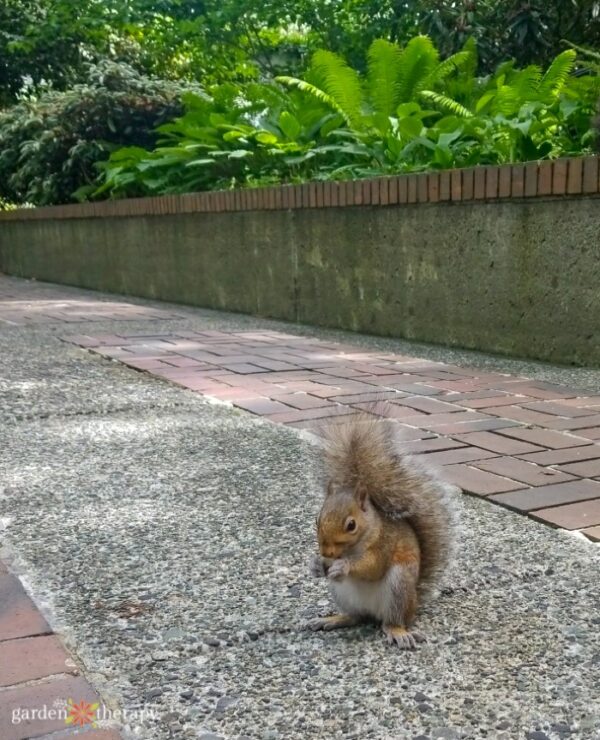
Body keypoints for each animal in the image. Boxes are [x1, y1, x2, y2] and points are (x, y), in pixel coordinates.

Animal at [308, 414, 459, 649]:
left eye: (351, 525)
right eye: (317, 519)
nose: (327, 553)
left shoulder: (384, 543)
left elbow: (373, 567)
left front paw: (344, 566)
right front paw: (316, 565)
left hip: (399, 587)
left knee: (391, 621)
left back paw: (398, 632)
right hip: (343, 595)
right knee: (355, 616)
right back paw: (334, 619)